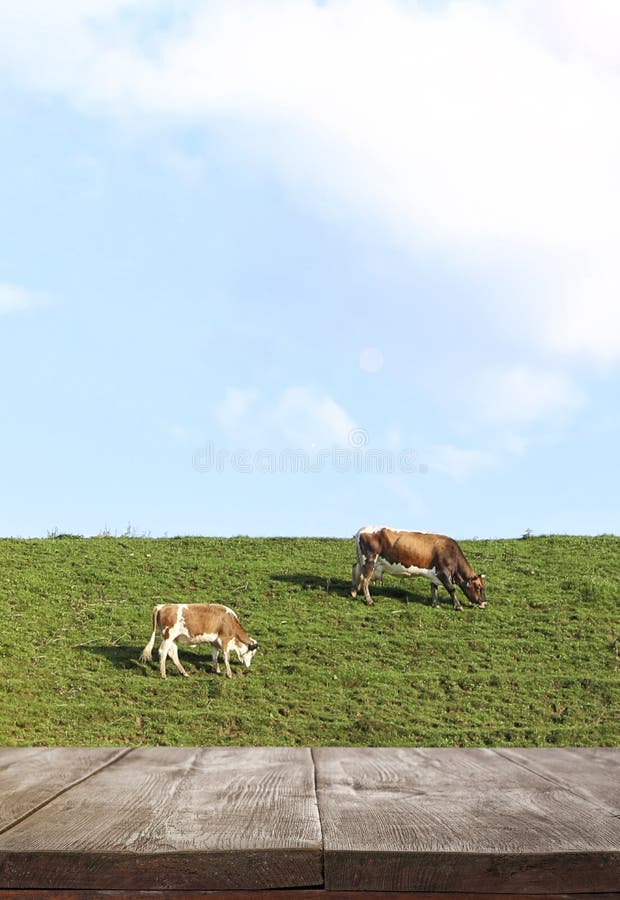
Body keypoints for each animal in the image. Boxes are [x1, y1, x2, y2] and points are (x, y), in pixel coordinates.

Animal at [351, 526, 487, 610]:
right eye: (479, 587)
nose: (485, 603)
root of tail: (363, 529)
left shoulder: (435, 575)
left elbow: (434, 588)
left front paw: (436, 604)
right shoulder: (443, 573)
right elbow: (451, 589)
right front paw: (458, 606)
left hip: (362, 561)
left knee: (356, 570)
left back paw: (353, 592)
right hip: (370, 560)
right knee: (365, 580)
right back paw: (369, 601)